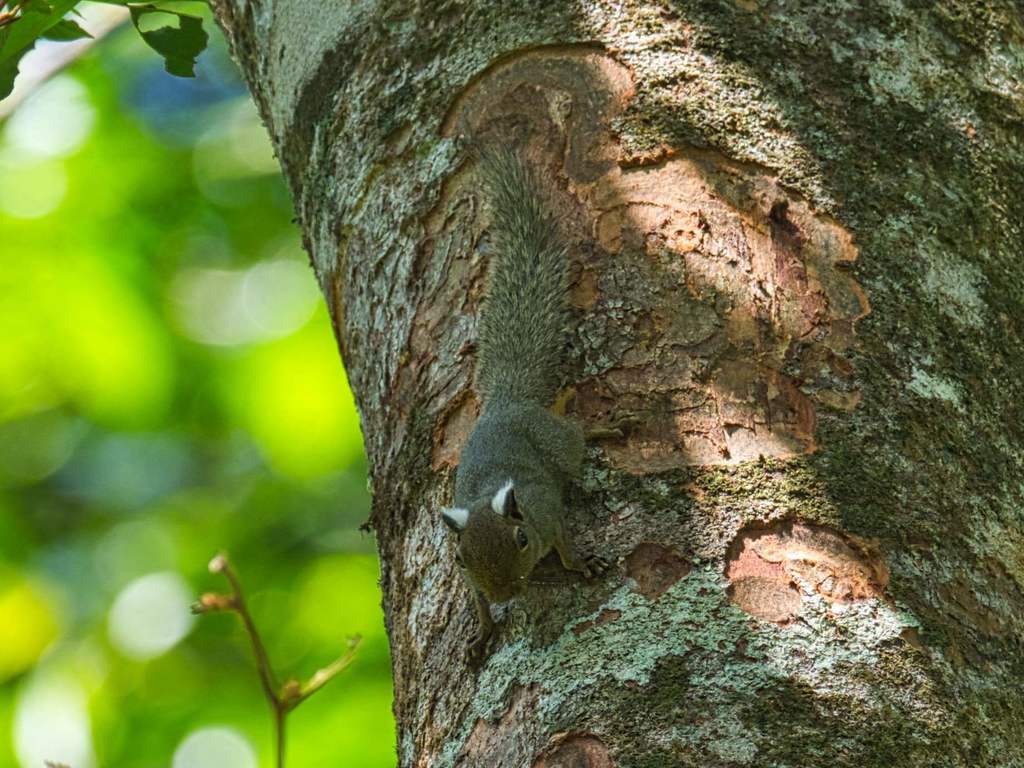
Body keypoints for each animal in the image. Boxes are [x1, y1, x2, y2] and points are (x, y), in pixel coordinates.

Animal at [440, 147, 607, 664]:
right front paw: (481, 632)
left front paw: (581, 564)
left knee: (574, 439)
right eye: (460, 558)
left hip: (558, 441)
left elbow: (566, 543)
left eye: (521, 539)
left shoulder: (548, 514)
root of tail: (505, 404)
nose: (505, 594)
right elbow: (474, 603)